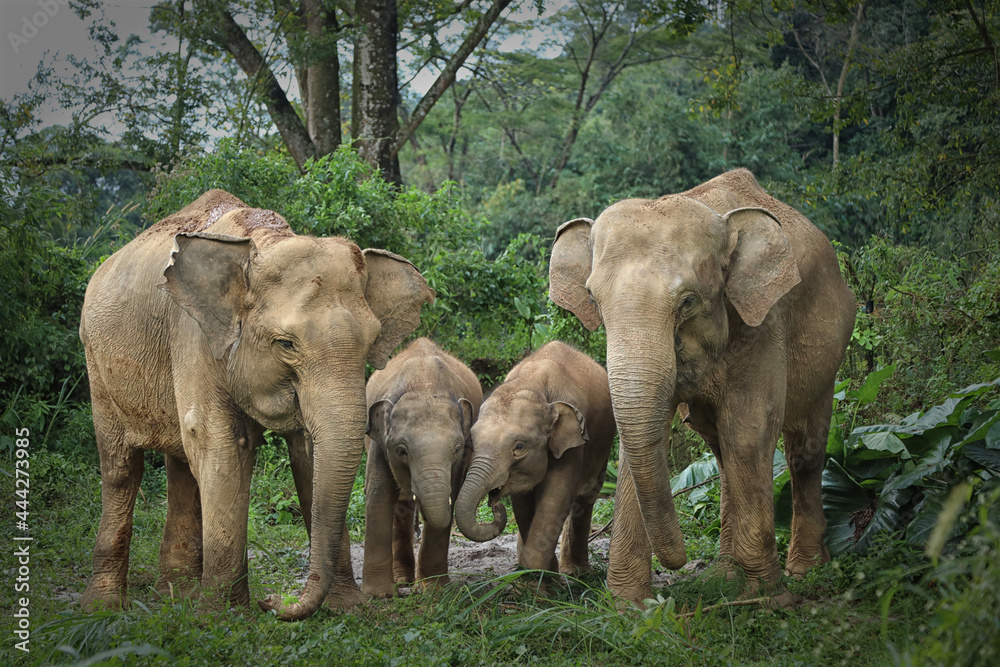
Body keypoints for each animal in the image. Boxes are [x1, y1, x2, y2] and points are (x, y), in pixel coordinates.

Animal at [78, 189, 434, 621]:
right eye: (286, 344)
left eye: (371, 343)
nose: (274, 601)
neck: (266, 238)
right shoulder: (193, 333)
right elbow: (220, 440)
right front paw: (222, 618)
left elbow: (308, 452)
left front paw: (345, 609)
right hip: (96, 360)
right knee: (121, 467)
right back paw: (104, 607)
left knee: (180, 466)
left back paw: (175, 596)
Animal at [362, 337, 483, 596]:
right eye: (402, 451)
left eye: (456, 449)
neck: (425, 384)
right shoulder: (379, 442)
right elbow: (378, 493)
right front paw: (378, 595)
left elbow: (452, 494)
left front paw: (434, 590)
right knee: (400, 504)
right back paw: (402, 582)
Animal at [454, 341, 615, 577]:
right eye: (473, 441)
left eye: (519, 447)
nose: (495, 506)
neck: (534, 383)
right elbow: (522, 502)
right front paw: (536, 576)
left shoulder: (573, 445)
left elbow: (554, 498)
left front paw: (538, 581)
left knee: (586, 499)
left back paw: (578, 573)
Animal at [548, 168, 856, 604]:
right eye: (592, 298)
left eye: (688, 302)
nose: (677, 564)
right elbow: (644, 437)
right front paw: (628, 604)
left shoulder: (763, 322)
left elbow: (748, 429)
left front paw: (764, 595)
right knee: (722, 455)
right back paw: (724, 575)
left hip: (830, 350)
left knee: (801, 450)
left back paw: (802, 570)